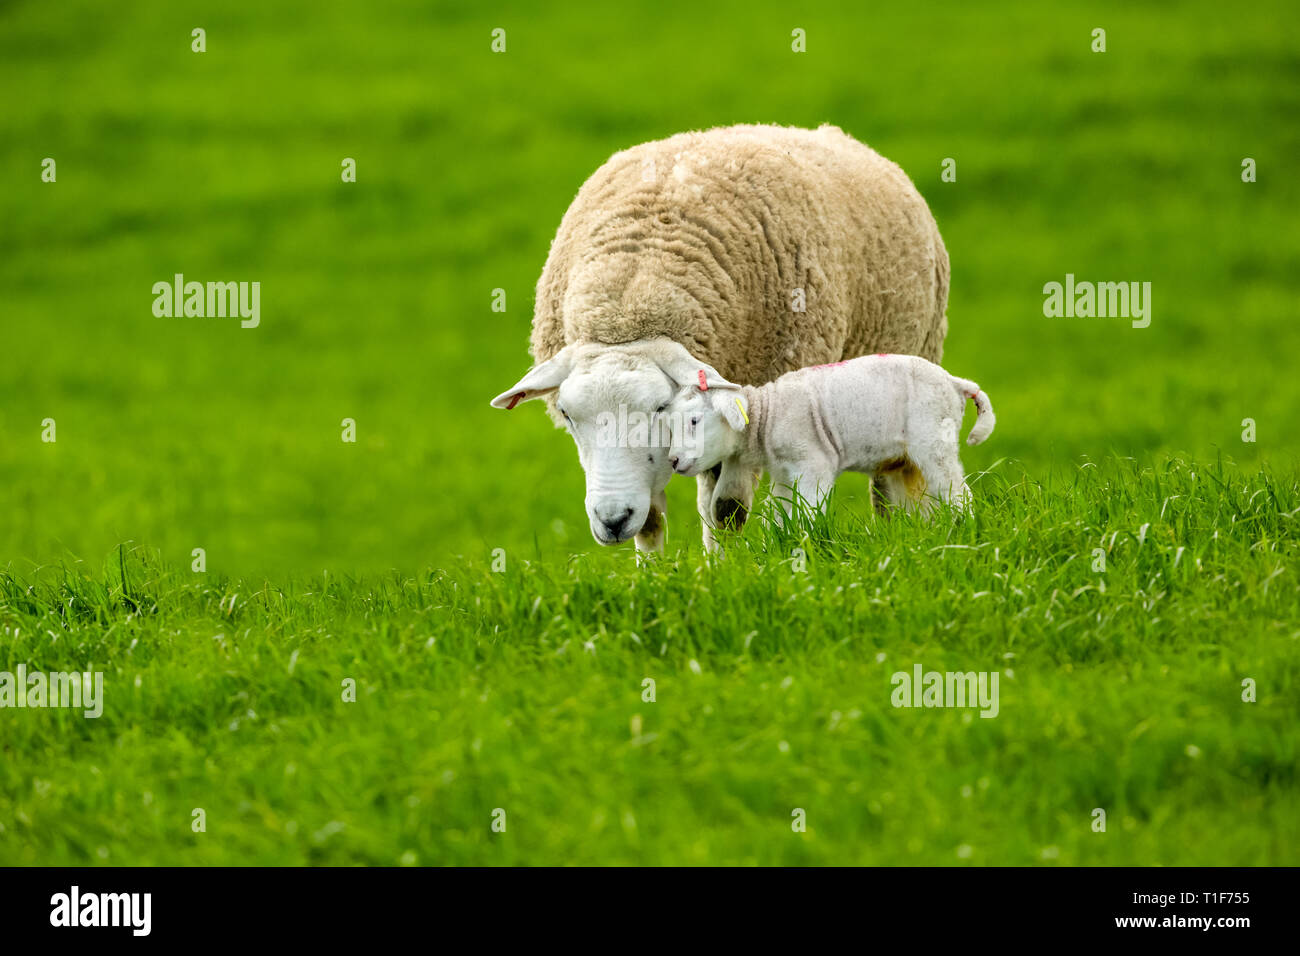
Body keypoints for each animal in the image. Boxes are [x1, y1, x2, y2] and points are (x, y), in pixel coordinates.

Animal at [490, 123, 950, 553]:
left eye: (660, 408)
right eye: (566, 414)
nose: (612, 520)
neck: (627, 311)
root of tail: (836, 134)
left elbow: (727, 510)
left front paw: (726, 571)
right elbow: (652, 519)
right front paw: (656, 575)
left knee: (891, 477)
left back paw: (899, 534)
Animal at [664, 354, 995, 520]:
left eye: (694, 421)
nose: (673, 460)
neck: (767, 415)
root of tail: (955, 382)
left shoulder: (814, 465)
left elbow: (809, 514)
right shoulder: (785, 473)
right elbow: (783, 515)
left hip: (933, 441)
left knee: (957, 494)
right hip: (905, 461)